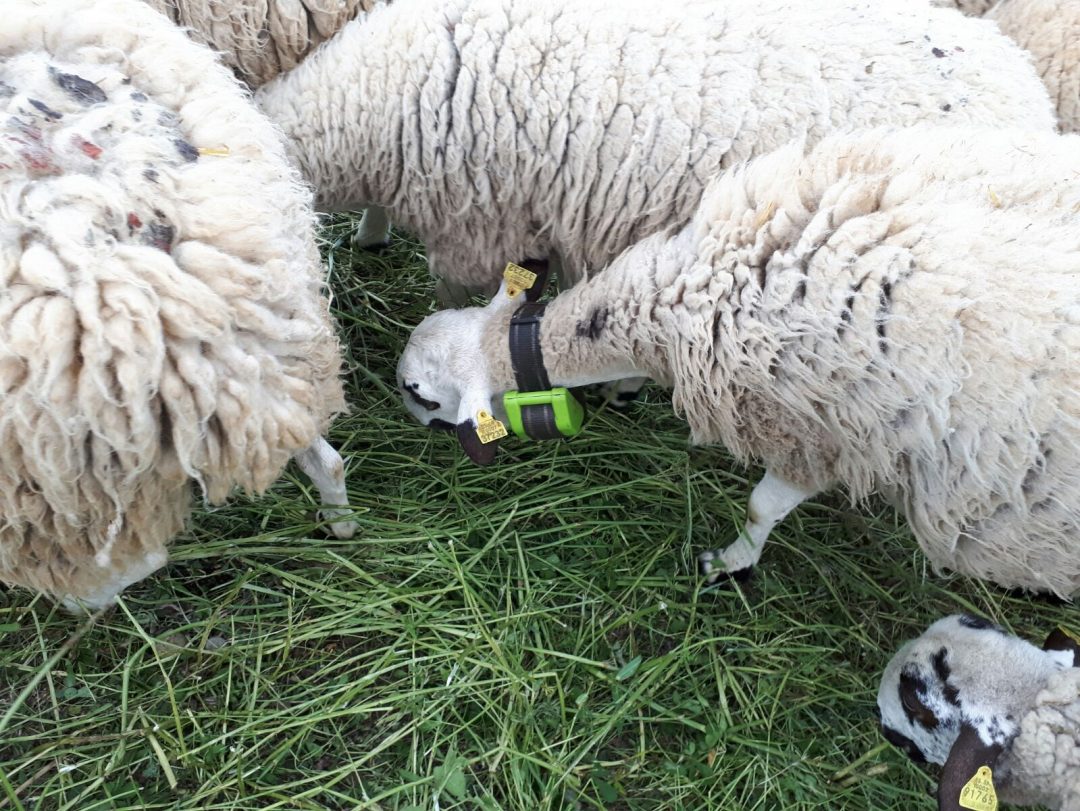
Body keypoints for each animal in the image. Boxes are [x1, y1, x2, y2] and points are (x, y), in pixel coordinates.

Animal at [395, 125, 1080, 597]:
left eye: (420, 393)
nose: (404, 418)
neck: (683, 296)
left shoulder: (815, 436)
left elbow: (761, 508)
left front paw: (728, 564)